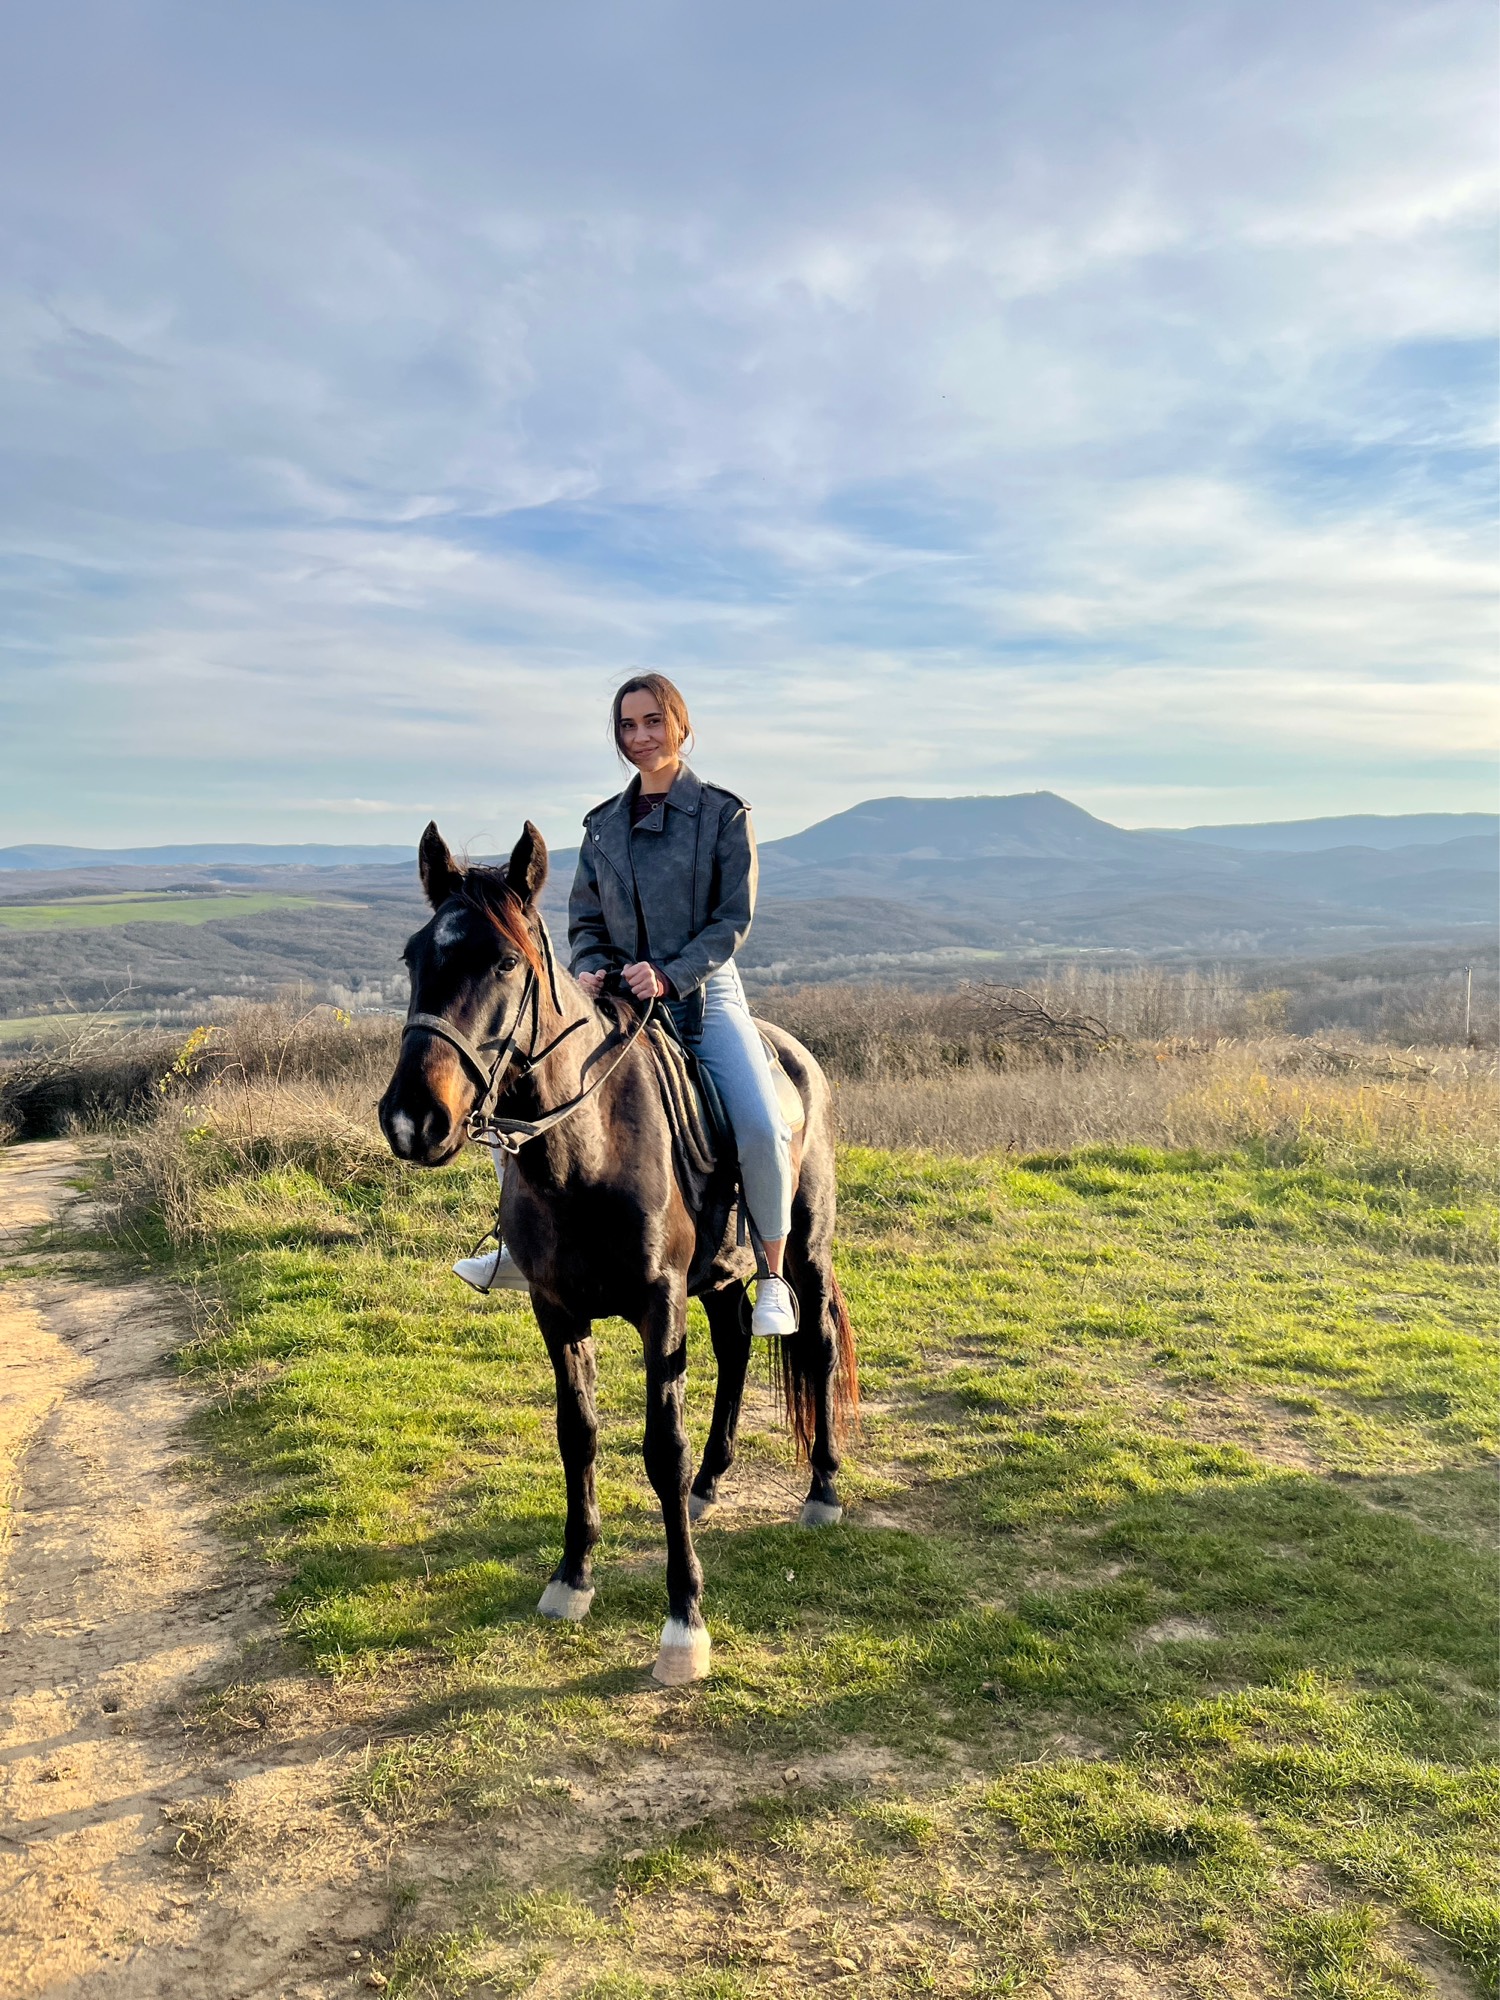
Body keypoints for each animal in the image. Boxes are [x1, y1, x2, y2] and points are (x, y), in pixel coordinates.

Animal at [378, 821, 858, 1685]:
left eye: (504, 964)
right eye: (413, 956)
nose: (412, 1119)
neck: (584, 1150)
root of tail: (793, 1053)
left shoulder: (658, 1305)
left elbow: (660, 1448)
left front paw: (684, 1621)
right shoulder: (556, 1309)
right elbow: (579, 1434)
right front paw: (572, 1576)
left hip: (804, 1248)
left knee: (816, 1343)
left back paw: (822, 1492)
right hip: (718, 1278)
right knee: (736, 1345)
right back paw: (712, 1481)